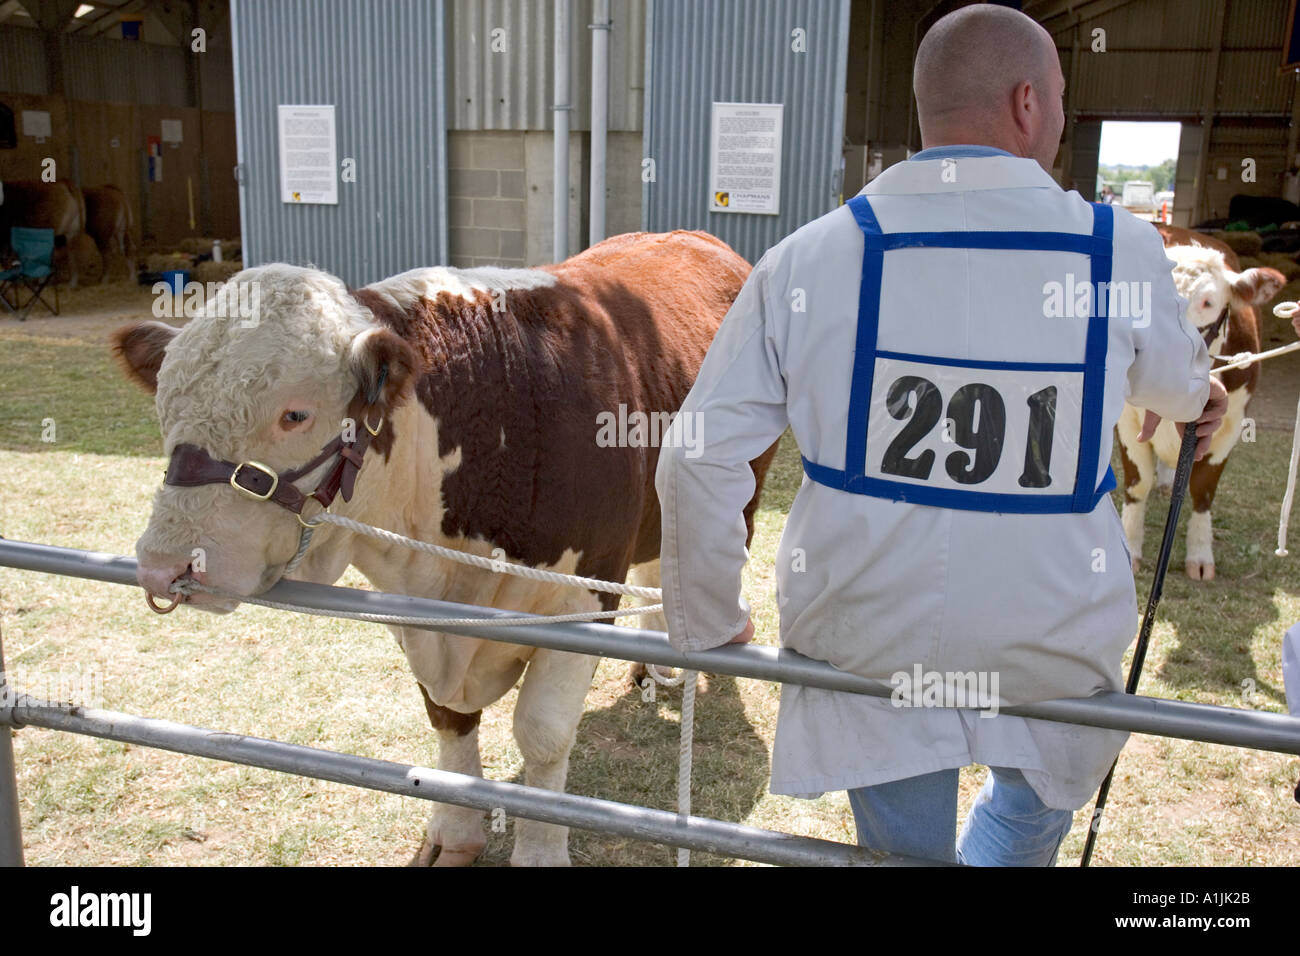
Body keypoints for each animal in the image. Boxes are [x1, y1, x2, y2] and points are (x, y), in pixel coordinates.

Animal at [111, 230, 779, 866]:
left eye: (295, 414)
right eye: (164, 406)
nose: (165, 565)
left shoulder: (581, 599)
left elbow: (542, 733)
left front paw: (541, 851)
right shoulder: (419, 615)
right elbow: (447, 717)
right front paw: (454, 835)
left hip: (737, 502)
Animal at [1115, 225, 1285, 580]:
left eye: (1207, 302)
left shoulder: (1231, 424)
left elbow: (1203, 490)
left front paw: (1200, 556)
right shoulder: (1126, 420)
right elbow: (1137, 484)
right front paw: (1131, 549)